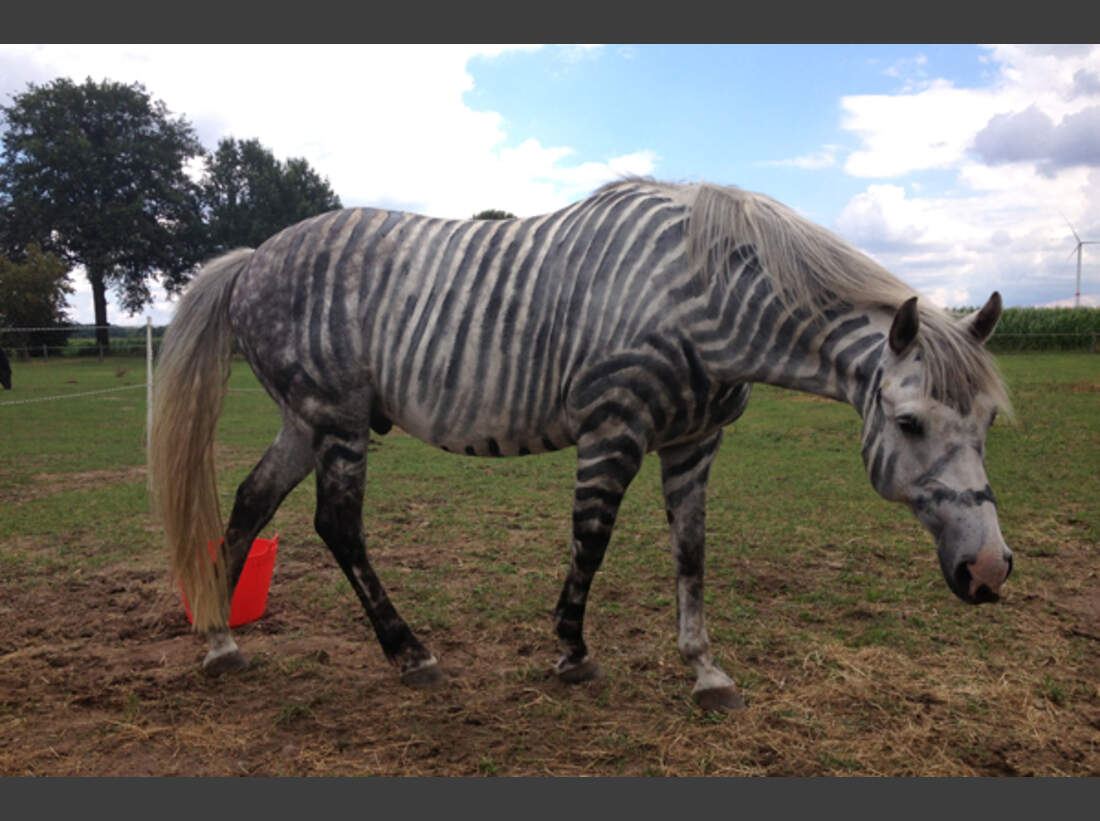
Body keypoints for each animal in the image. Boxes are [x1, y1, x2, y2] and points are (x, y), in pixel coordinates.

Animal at [149, 178, 1012, 711]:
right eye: (909, 423)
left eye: (990, 425)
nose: (990, 571)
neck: (706, 302)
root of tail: (254, 256)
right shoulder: (614, 425)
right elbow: (590, 540)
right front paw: (571, 652)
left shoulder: (695, 441)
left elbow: (692, 552)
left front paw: (705, 668)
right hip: (337, 417)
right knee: (338, 524)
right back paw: (410, 652)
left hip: (306, 420)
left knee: (249, 502)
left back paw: (221, 638)